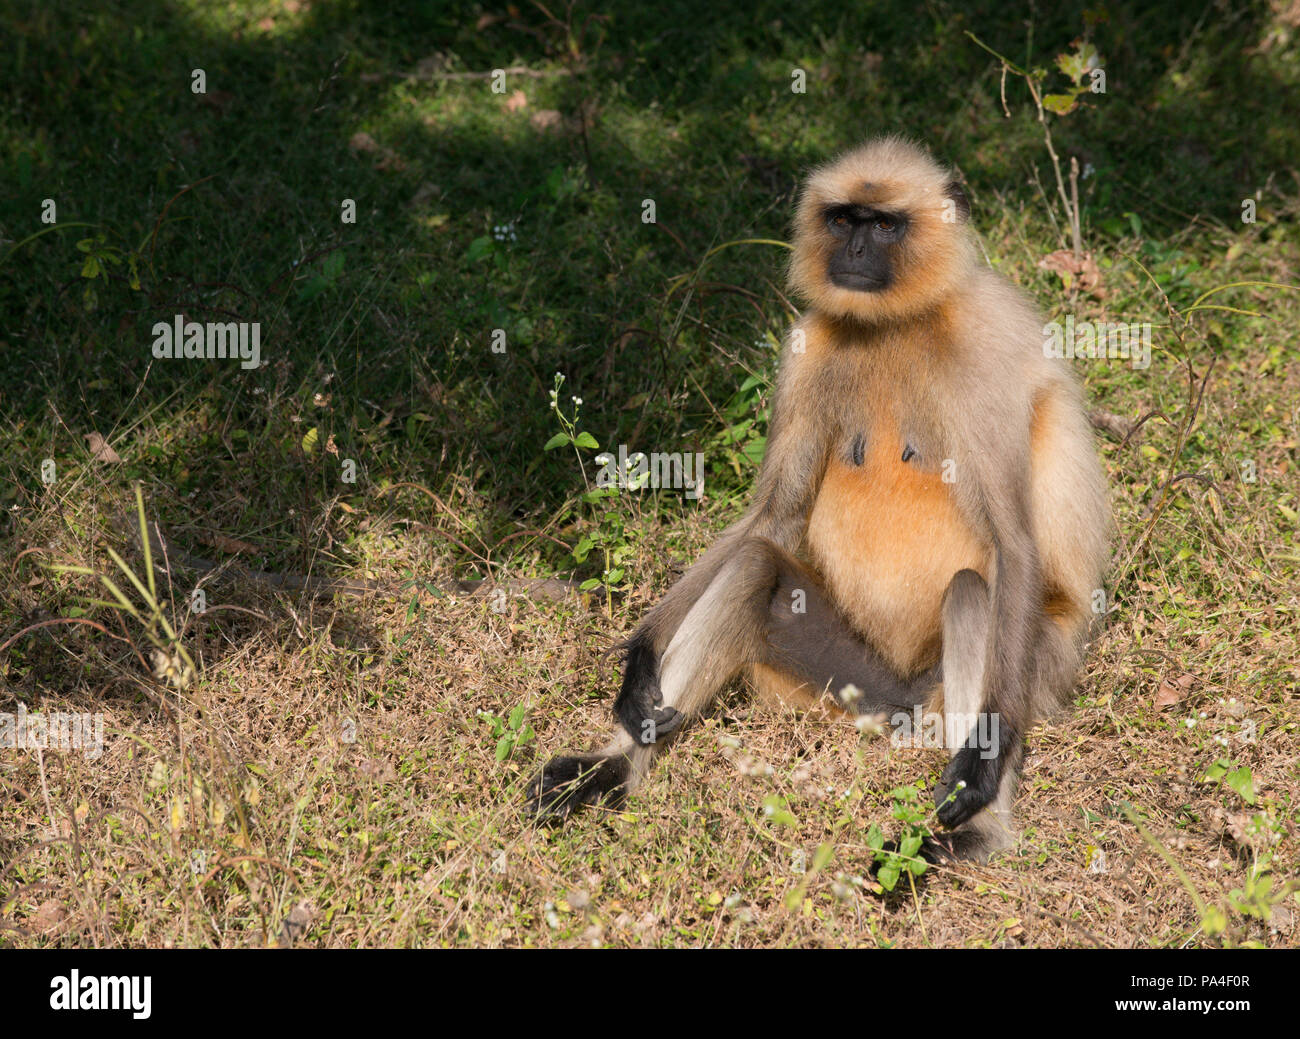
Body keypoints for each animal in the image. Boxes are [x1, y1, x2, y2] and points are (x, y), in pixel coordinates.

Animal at [526, 136, 1111, 863]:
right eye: (843, 219)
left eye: (883, 225)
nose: (855, 250)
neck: (896, 324)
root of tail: (903, 704)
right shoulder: (808, 345)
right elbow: (772, 517)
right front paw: (639, 661)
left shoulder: (983, 348)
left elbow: (1015, 544)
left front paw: (981, 772)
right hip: (856, 688)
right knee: (756, 564)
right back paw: (610, 770)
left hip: (1029, 670)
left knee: (975, 588)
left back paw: (981, 831)